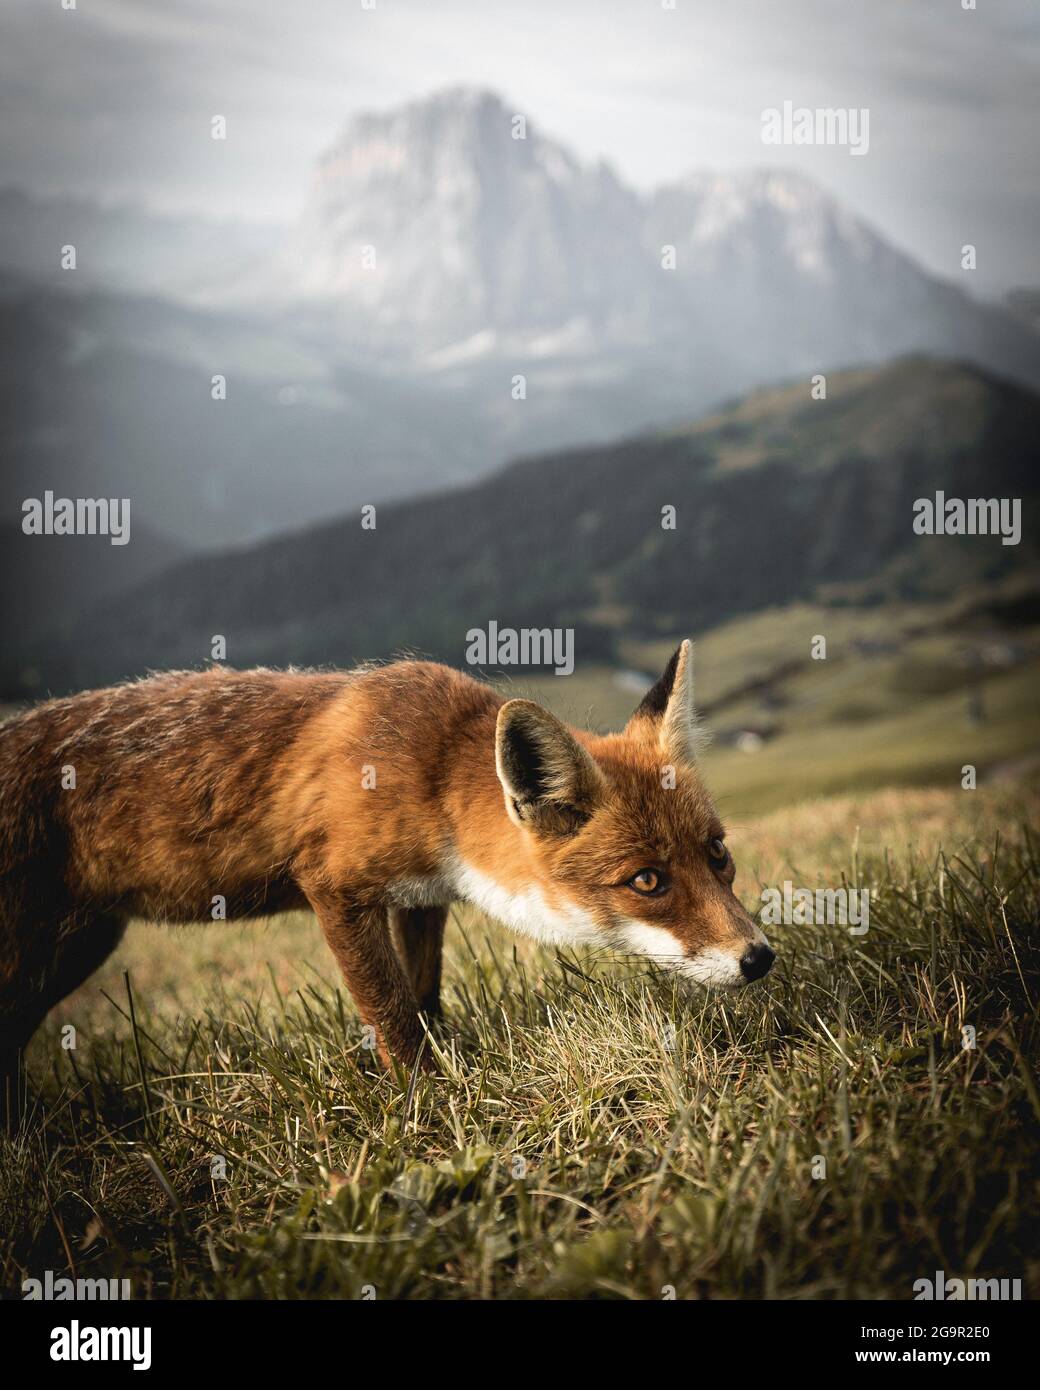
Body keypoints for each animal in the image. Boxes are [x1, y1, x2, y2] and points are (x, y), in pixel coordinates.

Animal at [0, 640, 773, 1117]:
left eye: (717, 853)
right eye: (646, 881)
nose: (760, 958)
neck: (433, 771)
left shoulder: (420, 898)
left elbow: (423, 996)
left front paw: (440, 1068)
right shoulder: (334, 889)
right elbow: (391, 1010)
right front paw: (427, 1102)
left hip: (75, 947)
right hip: (47, 951)